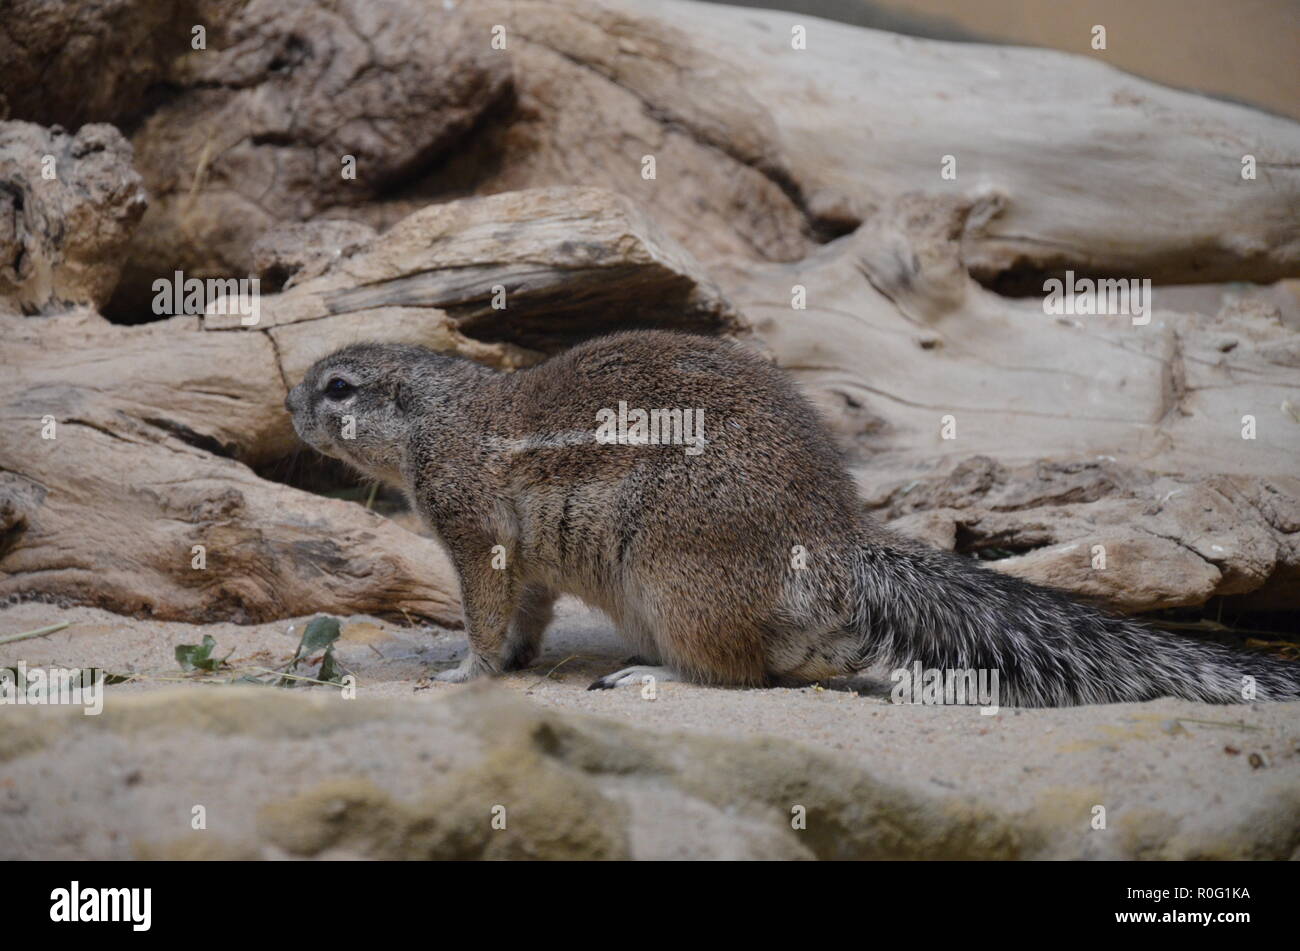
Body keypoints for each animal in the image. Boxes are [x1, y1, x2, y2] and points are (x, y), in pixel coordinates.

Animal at [285, 330, 1300, 706]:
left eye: (338, 386)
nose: (290, 406)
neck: (439, 415)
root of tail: (841, 543)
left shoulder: (475, 534)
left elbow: (487, 616)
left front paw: (462, 670)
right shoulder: (523, 560)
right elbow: (527, 614)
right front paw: (514, 660)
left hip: (672, 572)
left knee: (733, 672)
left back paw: (646, 673)